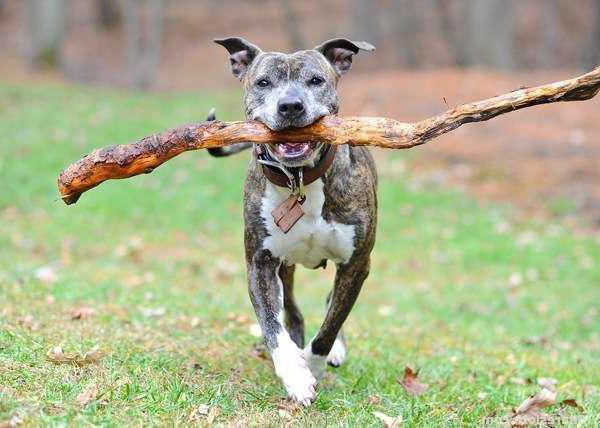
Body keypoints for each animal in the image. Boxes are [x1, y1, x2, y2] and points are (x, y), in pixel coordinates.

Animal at [210, 36, 376, 404]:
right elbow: (272, 325)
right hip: (285, 267)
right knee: (292, 312)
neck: (300, 179)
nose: (290, 106)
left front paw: (313, 364)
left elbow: (329, 326)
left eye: (316, 80)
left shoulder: (356, 263)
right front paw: (295, 374)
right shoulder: (260, 263)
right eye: (263, 83)